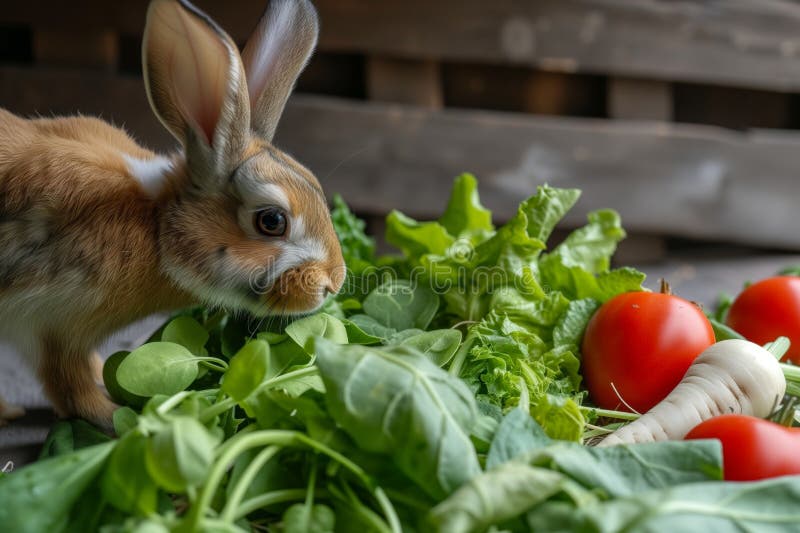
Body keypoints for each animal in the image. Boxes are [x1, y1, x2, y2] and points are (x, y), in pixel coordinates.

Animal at [0, 0, 345, 429]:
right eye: (272, 221)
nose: (334, 282)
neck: (157, 225)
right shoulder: (51, 325)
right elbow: (70, 387)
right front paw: (115, 416)